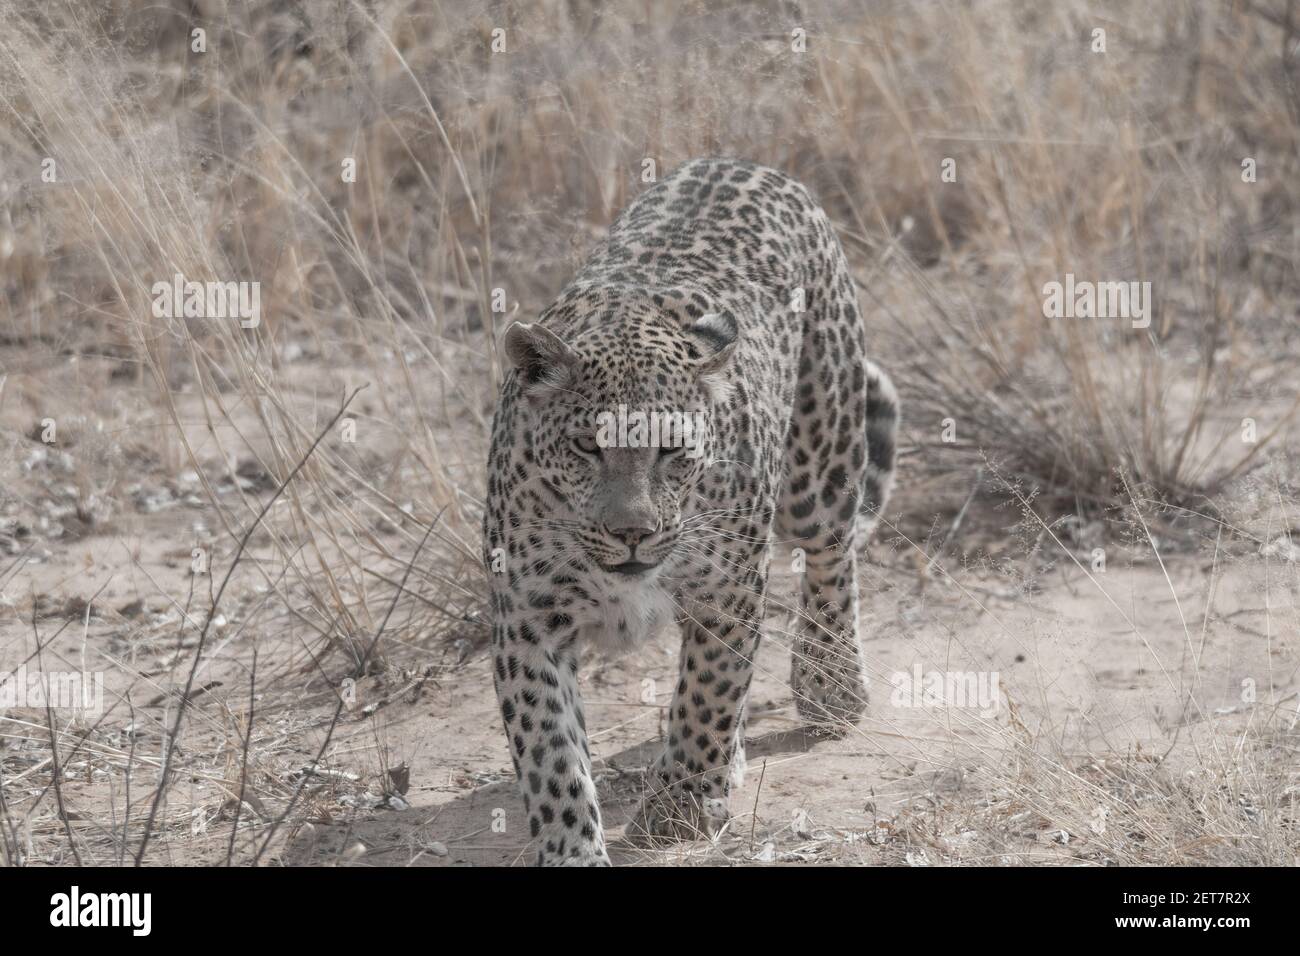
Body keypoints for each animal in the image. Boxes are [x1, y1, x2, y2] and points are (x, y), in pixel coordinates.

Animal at [482, 157, 898, 866]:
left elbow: (711, 691)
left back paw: (832, 681)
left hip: (819, 457)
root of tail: (743, 162)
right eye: (586, 447)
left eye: (672, 450)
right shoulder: (527, 618)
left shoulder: (728, 587)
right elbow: (551, 753)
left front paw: (681, 807)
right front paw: (573, 848)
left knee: (830, 552)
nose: (632, 533)